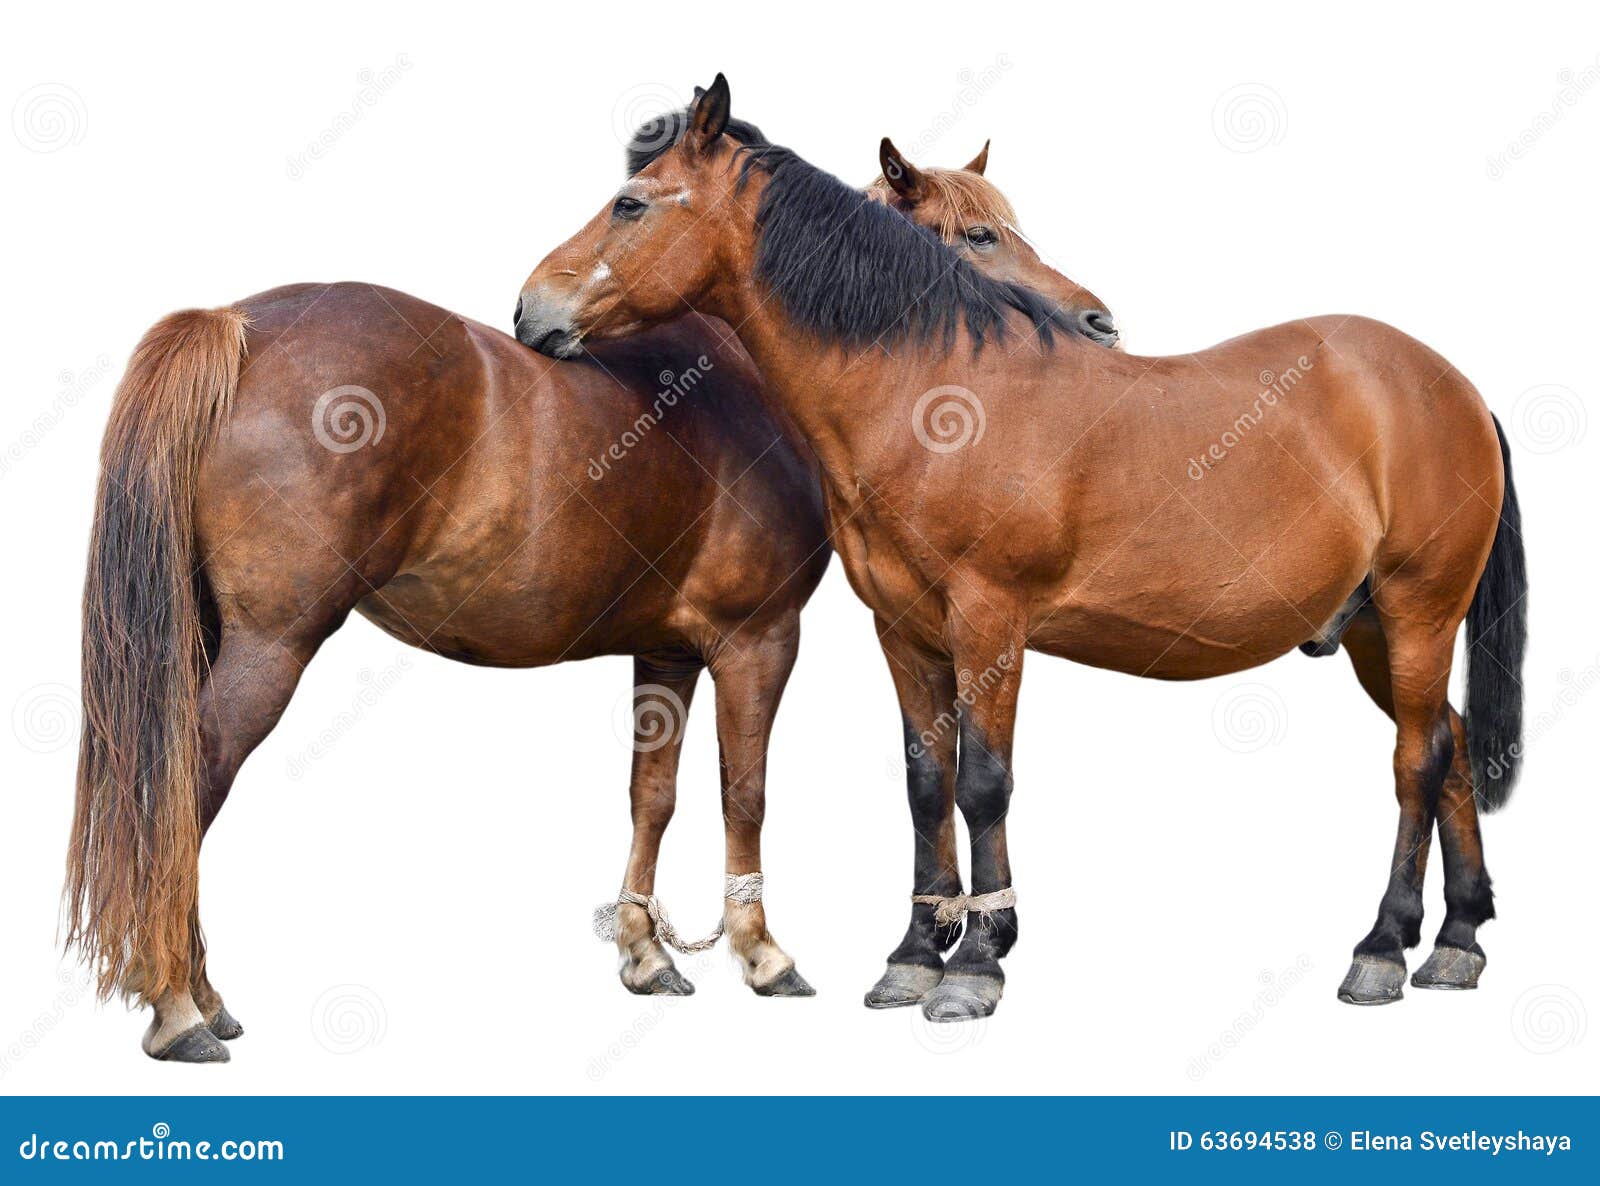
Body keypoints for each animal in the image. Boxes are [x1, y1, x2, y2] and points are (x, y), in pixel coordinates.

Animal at [66, 109, 1121, 1062]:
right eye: (979, 235)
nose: (1097, 325)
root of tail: (237, 327)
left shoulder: (666, 650)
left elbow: (652, 795)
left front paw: (647, 955)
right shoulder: (757, 639)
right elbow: (745, 791)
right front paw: (762, 954)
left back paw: (205, 997)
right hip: (272, 645)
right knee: (189, 785)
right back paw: (179, 1008)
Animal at [516, 75, 1528, 1023]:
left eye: (631, 204)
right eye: (978, 234)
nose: (531, 309)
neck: (935, 394)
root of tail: (1454, 386)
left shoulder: (990, 623)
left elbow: (984, 786)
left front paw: (975, 965)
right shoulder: (906, 631)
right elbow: (927, 786)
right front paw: (912, 957)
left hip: (1419, 611)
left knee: (1416, 763)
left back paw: (1383, 949)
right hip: (1370, 632)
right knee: (1448, 746)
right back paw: (1457, 942)